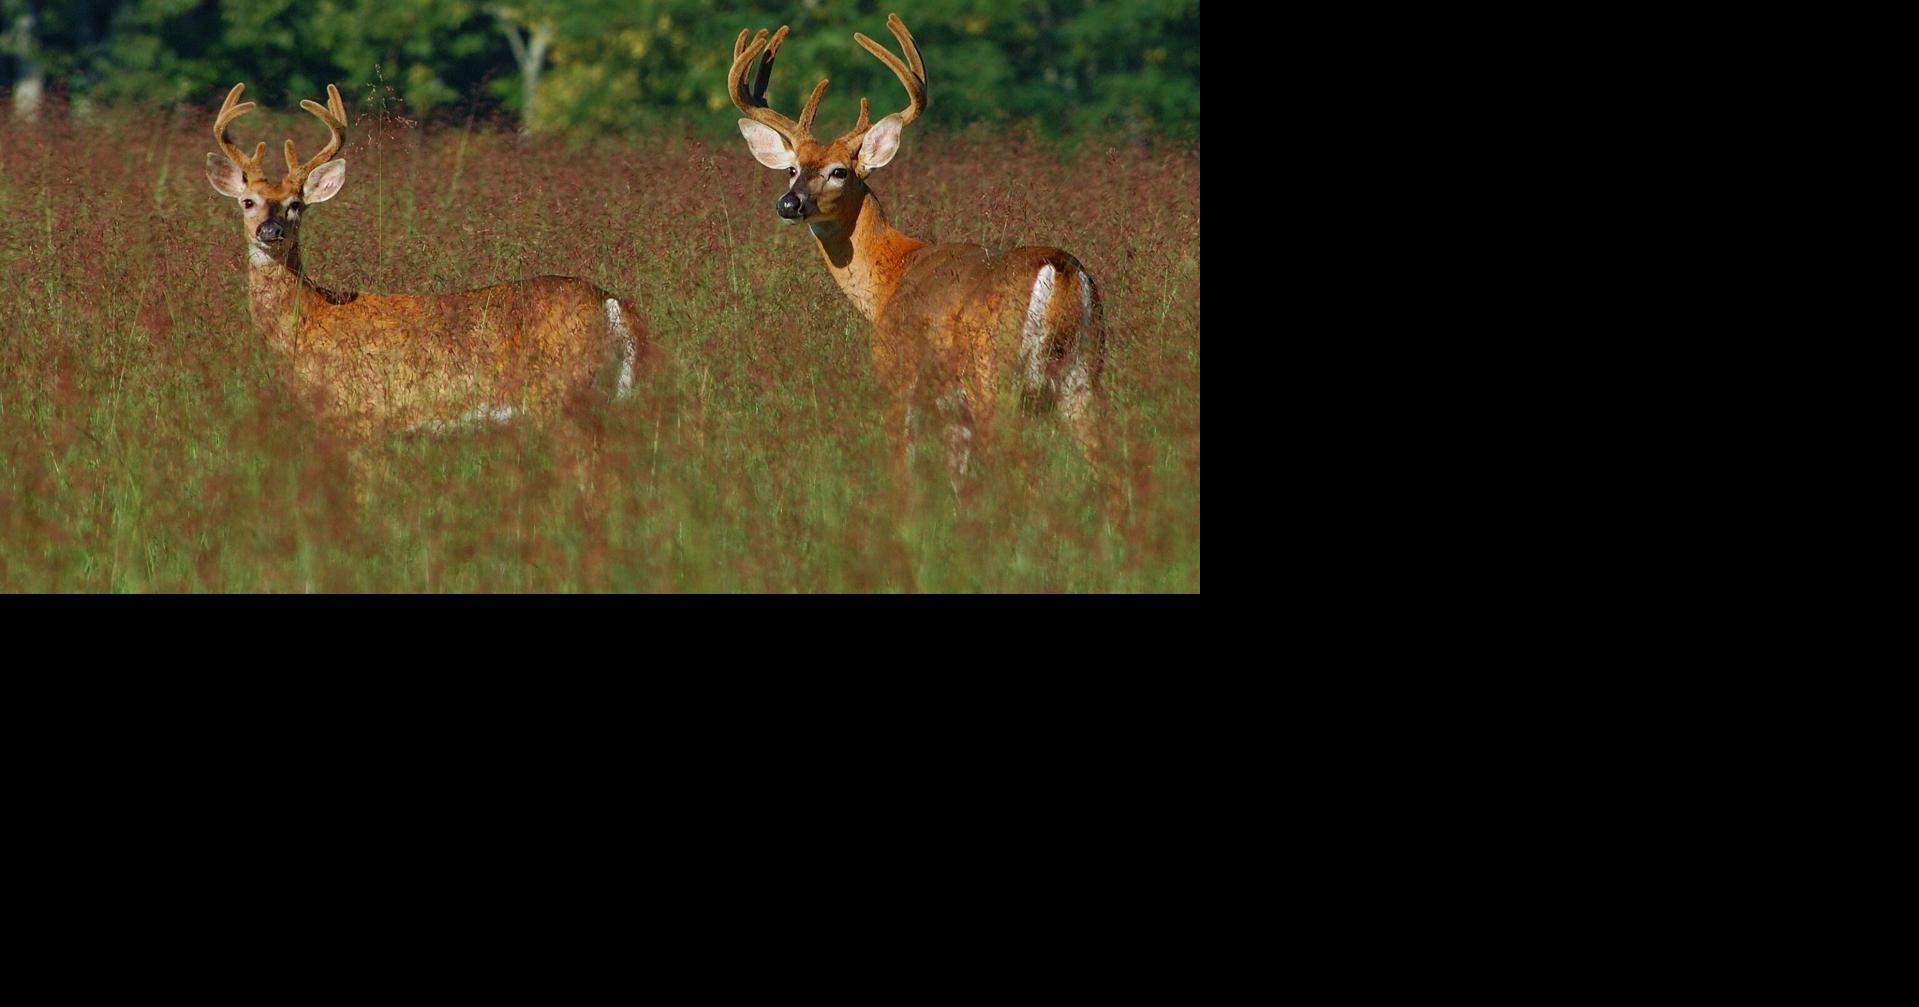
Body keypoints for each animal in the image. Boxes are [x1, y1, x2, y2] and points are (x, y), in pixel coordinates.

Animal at [202, 82, 647, 457]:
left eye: (296, 204)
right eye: (248, 201)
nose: (270, 231)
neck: (312, 317)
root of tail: (610, 302)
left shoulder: (363, 413)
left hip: (562, 396)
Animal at [726, 15, 1106, 487]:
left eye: (839, 172)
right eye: (792, 169)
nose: (789, 204)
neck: (889, 277)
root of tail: (1061, 270)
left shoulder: (896, 373)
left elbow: (901, 466)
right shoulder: (954, 411)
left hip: (994, 373)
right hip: (1084, 375)